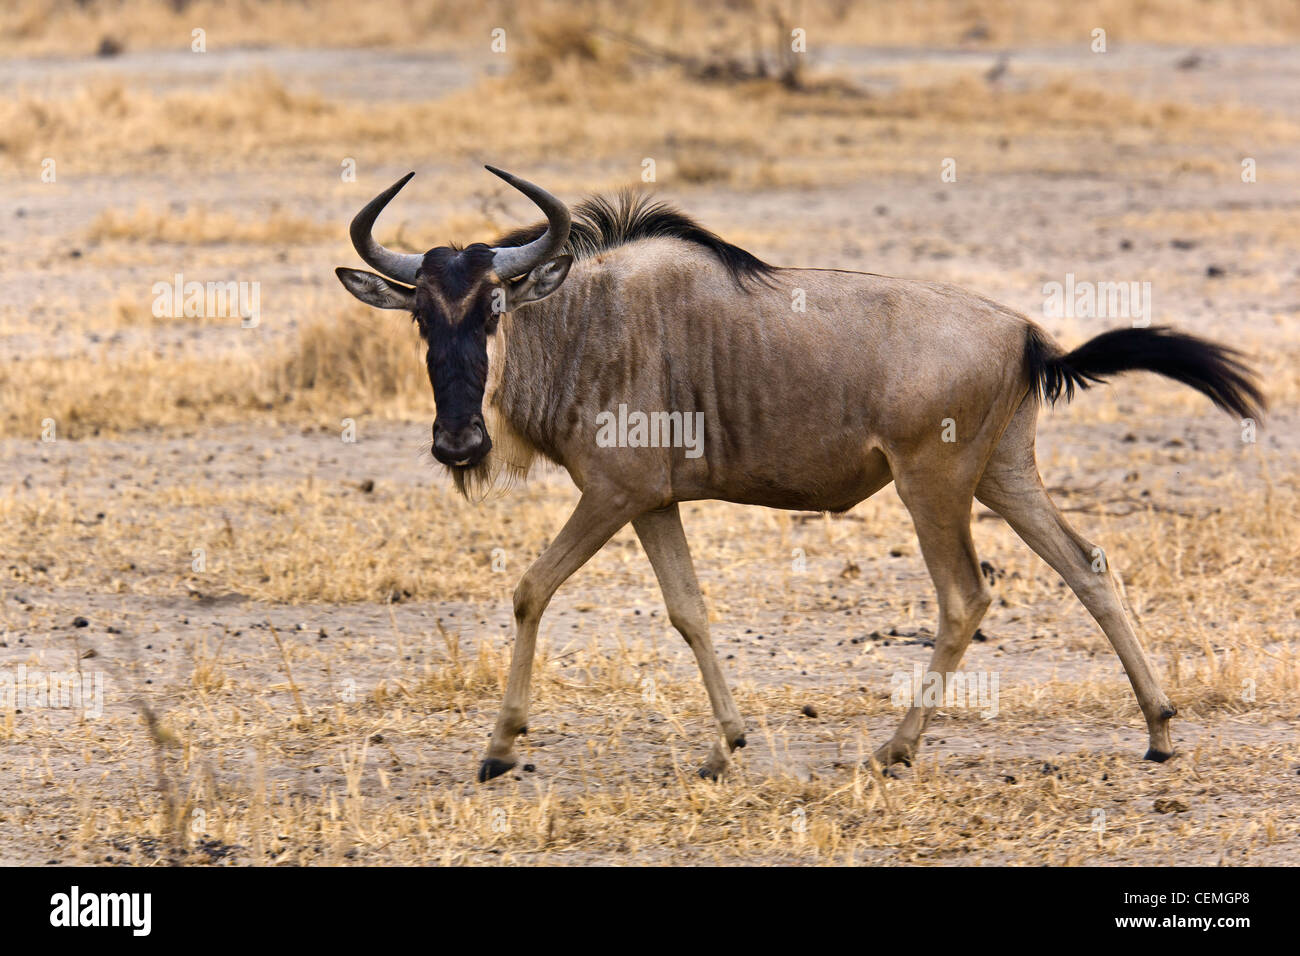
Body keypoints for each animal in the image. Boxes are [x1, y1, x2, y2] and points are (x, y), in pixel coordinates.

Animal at [336, 167, 1264, 782]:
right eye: (421, 317)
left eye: (493, 306)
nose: (458, 443)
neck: (579, 322)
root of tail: (1030, 337)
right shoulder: (652, 502)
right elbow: (689, 610)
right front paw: (726, 745)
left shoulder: (611, 495)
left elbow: (531, 588)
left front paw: (499, 747)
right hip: (1003, 477)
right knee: (1089, 566)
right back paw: (1159, 730)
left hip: (933, 486)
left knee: (965, 597)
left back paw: (895, 749)